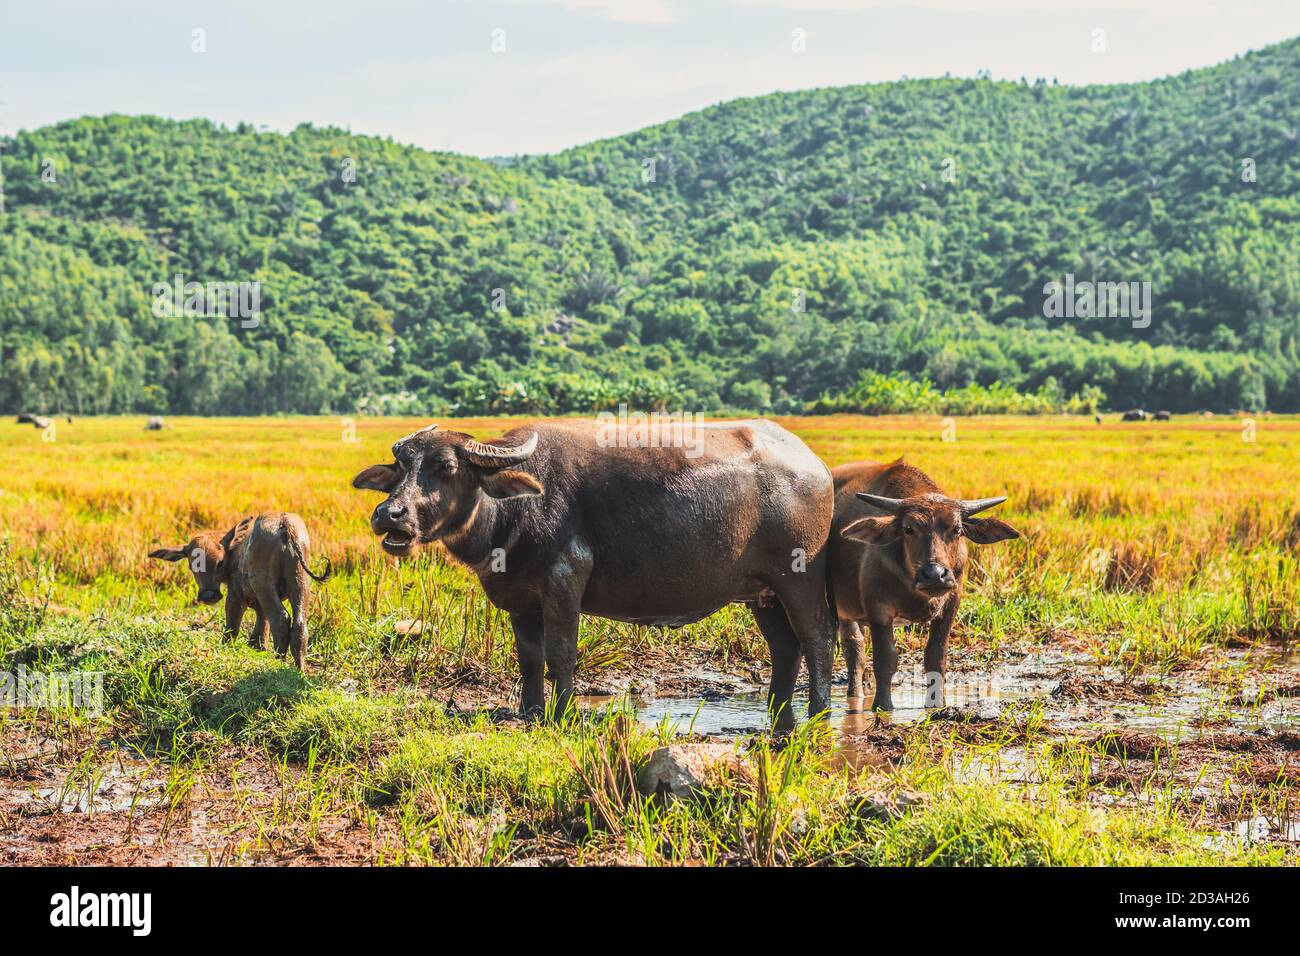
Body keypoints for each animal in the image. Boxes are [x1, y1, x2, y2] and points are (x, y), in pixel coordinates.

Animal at [352, 421, 838, 728]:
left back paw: (818, 712)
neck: (513, 511)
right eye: (401, 468)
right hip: (762, 593)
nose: (389, 514)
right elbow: (529, 658)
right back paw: (777, 713)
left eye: (447, 468)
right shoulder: (521, 602)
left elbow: (561, 653)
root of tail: (816, 467)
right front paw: (530, 710)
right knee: (785, 647)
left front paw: (562, 712)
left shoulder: (565, 580)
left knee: (817, 639)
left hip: (799, 579)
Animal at [829, 458, 1020, 712]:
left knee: (856, 647)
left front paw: (937, 703)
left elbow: (936, 656)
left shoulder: (951, 605)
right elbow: (886, 659)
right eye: (909, 529)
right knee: (854, 649)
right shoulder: (879, 611)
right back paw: (856, 694)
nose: (934, 575)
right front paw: (882, 706)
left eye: (956, 529)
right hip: (841, 610)